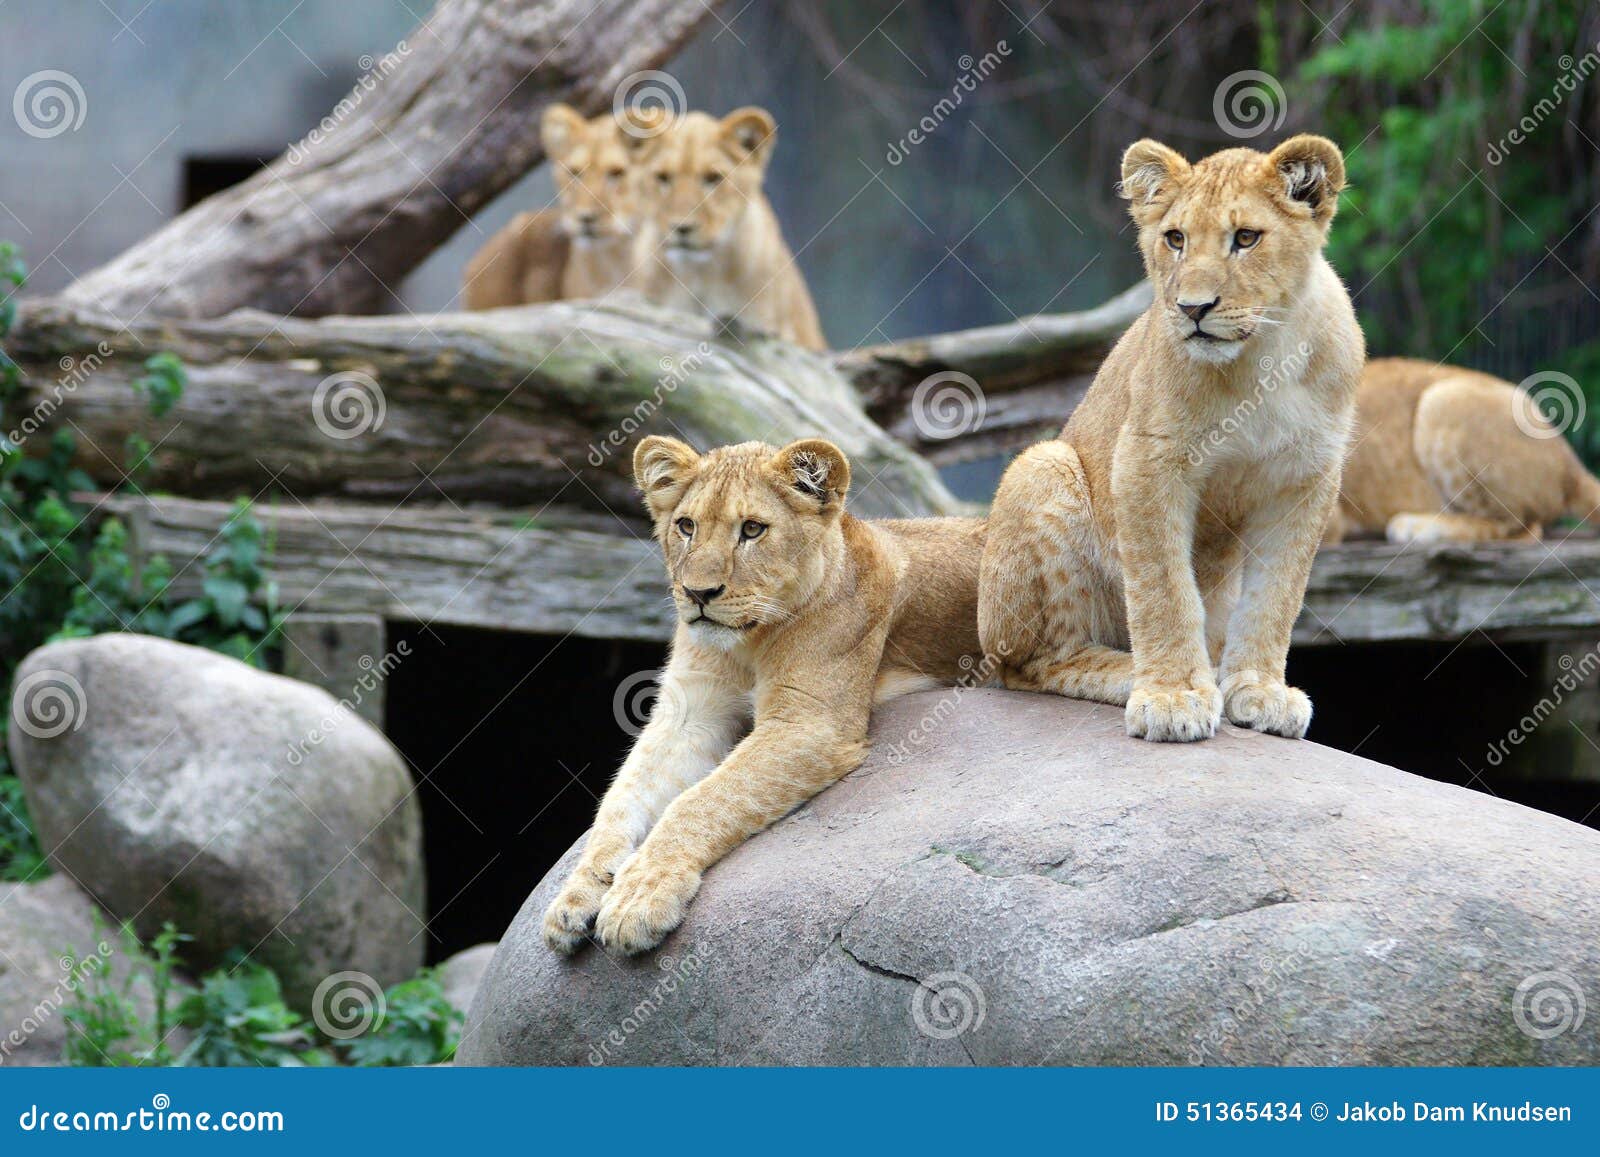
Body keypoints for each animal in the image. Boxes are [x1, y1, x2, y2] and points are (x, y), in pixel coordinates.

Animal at [543, 436, 983, 954]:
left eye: (752, 529)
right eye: (686, 526)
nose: (698, 593)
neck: (748, 645)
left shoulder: (809, 723)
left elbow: (703, 799)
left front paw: (639, 895)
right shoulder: (690, 713)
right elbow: (621, 797)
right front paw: (578, 893)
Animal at [978, 135, 1364, 743]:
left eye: (1246, 238)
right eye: (1175, 239)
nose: (1192, 308)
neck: (1262, 359)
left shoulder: (1305, 479)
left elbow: (1277, 594)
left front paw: (1260, 690)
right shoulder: (1147, 461)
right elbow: (1163, 588)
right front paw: (1173, 695)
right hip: (1042, 465)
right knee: (1037, 661)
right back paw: (1133, 673)